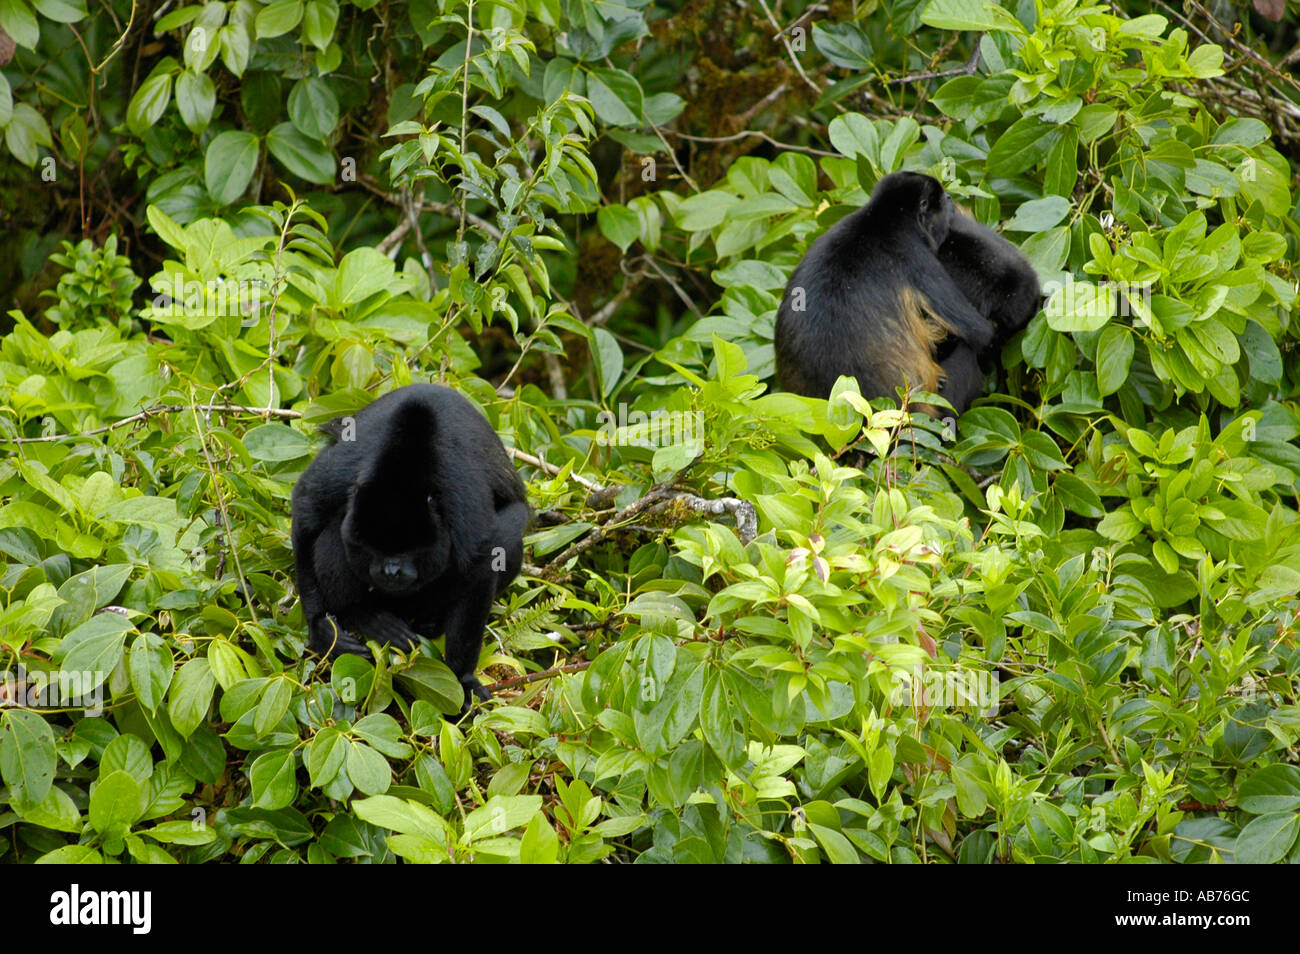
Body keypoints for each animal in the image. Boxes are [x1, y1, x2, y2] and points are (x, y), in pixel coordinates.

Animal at [290, 383, 529, 713]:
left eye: (410, 551)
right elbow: (306, 514)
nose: (391, 570)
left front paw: (463, 679)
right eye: (372, 548)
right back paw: (364, 617)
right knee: (332, 531)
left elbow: (484, 563)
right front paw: (320, 627)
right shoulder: (346, 468)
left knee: (510, 533)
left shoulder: (462, 495)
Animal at [774, 171, 997, 417]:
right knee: (967, 353)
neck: (882, 218)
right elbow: (981, 332)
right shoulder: (916, 256)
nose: (949, 197)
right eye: (939, 199)